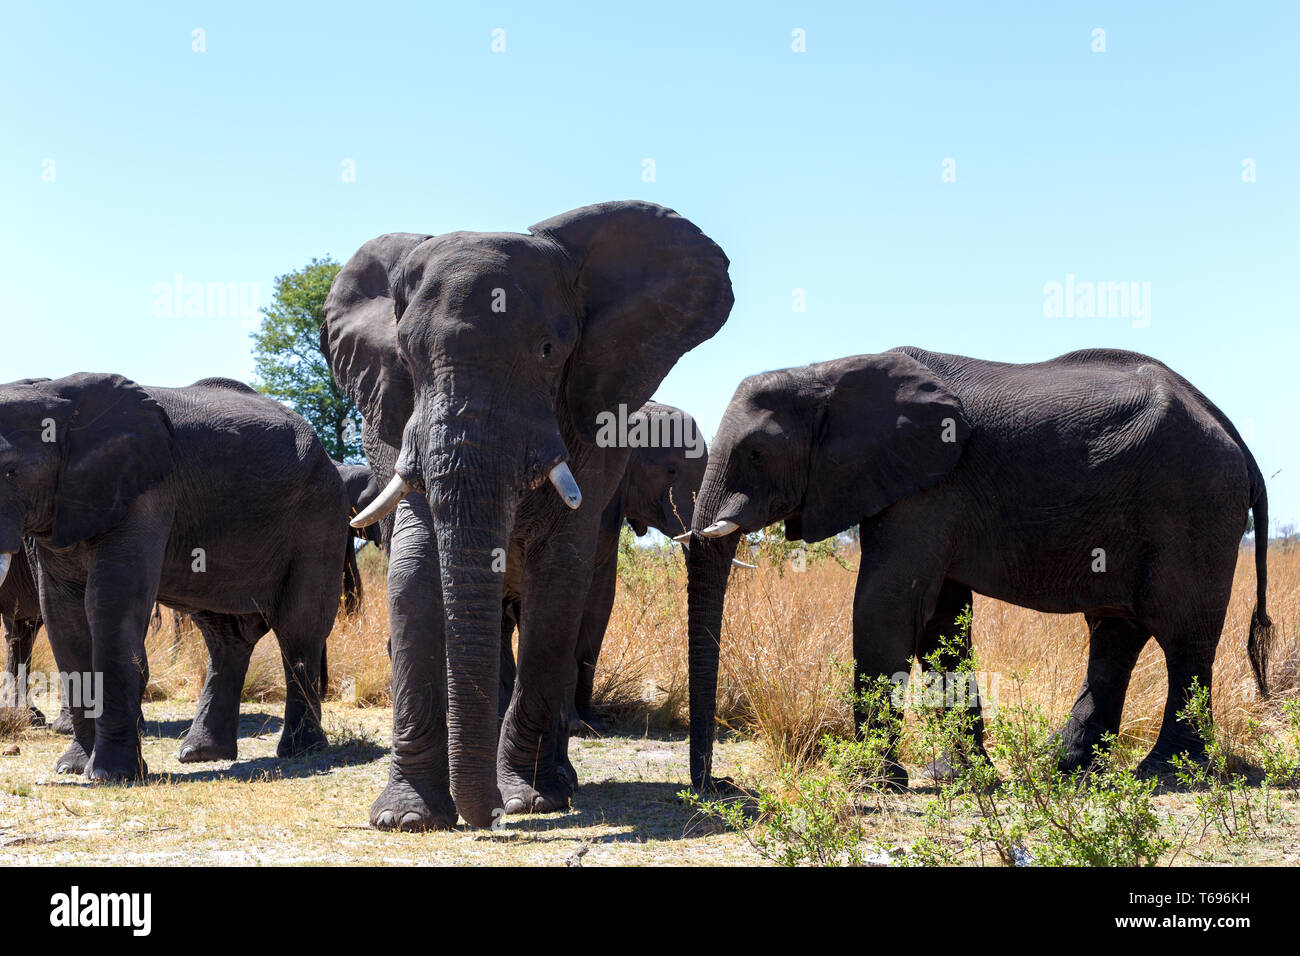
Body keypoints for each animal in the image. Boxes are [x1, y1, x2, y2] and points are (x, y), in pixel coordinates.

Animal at [0, 373, 349, 780]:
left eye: (10, 471)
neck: (54, 393)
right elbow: (62, 617)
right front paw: (72, 768)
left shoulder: (146, 492)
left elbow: (110, 605)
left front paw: (110, 776)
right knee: (224, 636)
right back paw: (201, 753)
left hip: (321, 512)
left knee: (299, 630)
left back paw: (300, 750)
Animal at [683, 347, 1272, 791]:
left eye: (756, 453)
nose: (717, 785)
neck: (827, 372)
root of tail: (1235, 437)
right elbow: (940, 627)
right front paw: (959, 776)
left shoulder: (930, 487)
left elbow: (885, 609)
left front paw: (873, 781)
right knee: (1115, 631)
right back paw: (1064, 768)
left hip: (1195, 504)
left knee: (1182, 634)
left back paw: (1165, 773)